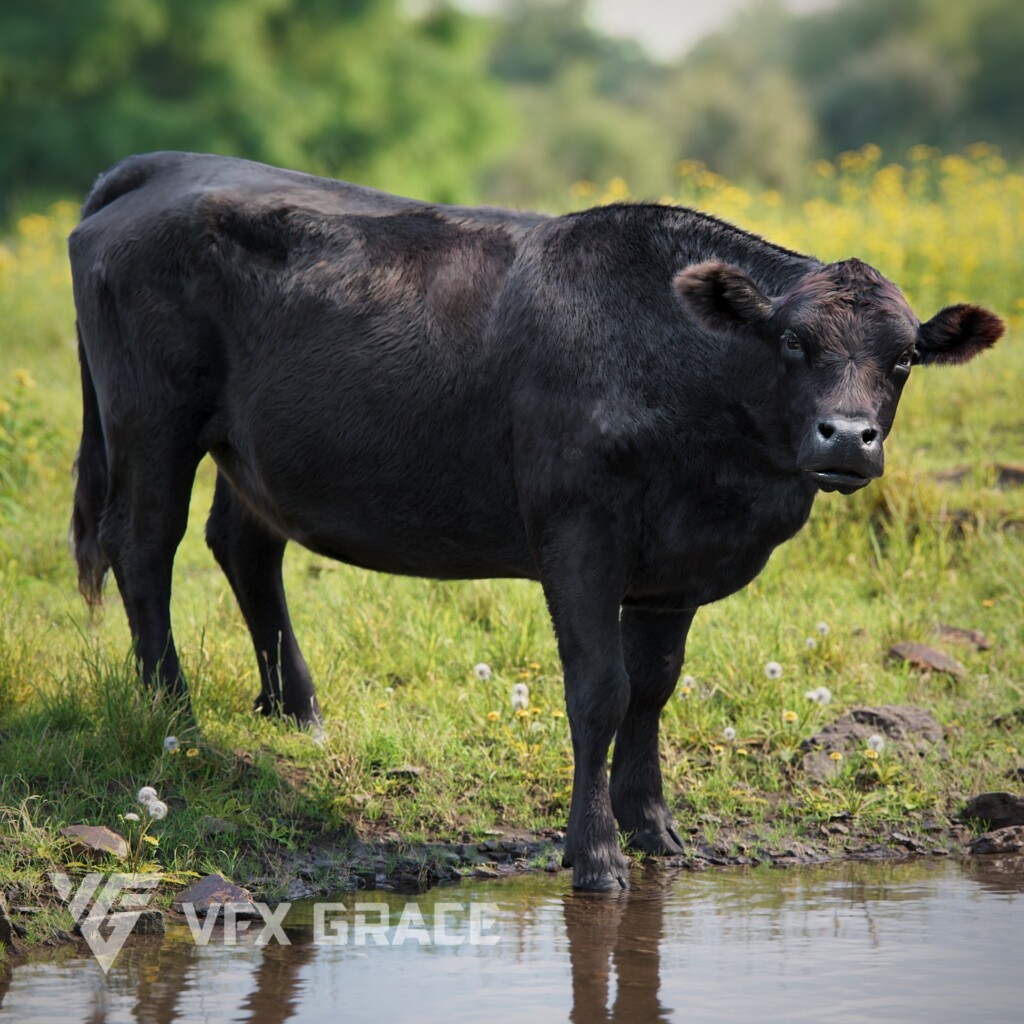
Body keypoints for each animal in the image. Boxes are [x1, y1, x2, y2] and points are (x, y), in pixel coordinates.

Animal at [69, 152, 1003, 891]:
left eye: (903, 358)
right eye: (794, 343)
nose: (847, 436)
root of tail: (168, 166)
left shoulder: (676, 564)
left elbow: (655, 687)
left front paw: (653, 825)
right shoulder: (580, 532)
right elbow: (600, 690)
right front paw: (596, 855)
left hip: (253, 446)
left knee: (245, 545)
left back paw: (296, 712)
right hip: (152, 420)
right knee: (144, 548)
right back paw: (176, 718)